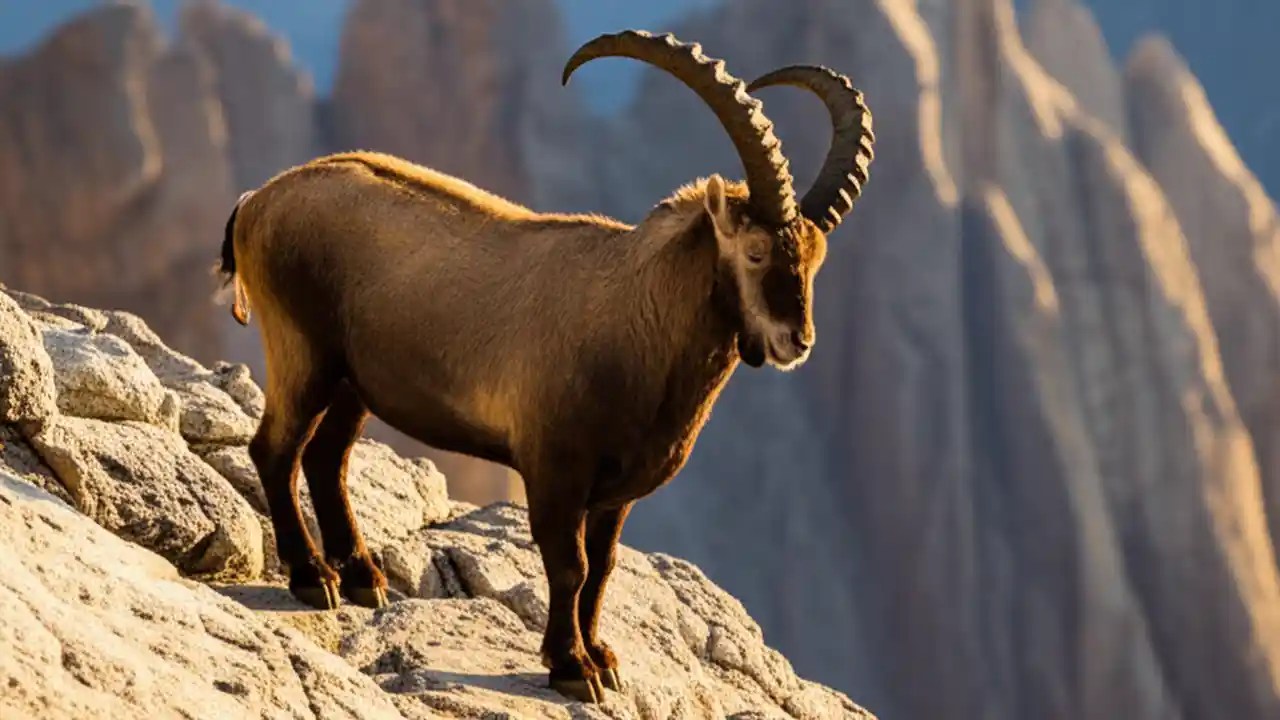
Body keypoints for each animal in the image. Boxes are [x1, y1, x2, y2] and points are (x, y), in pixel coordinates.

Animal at [218, 30, 874, 703]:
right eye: (756, 251)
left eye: (815, 260)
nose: (797, 341)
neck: (634, 316)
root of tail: (256, 202)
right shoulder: (554, 466)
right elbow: (569, 564)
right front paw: (571, 667)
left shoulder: (615, 492)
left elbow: (602, 568)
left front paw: (602, 656)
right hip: (305, 351)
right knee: (276, 448)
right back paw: (310, 577)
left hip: (356, 382)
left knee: (327, 457)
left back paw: (361, 577)